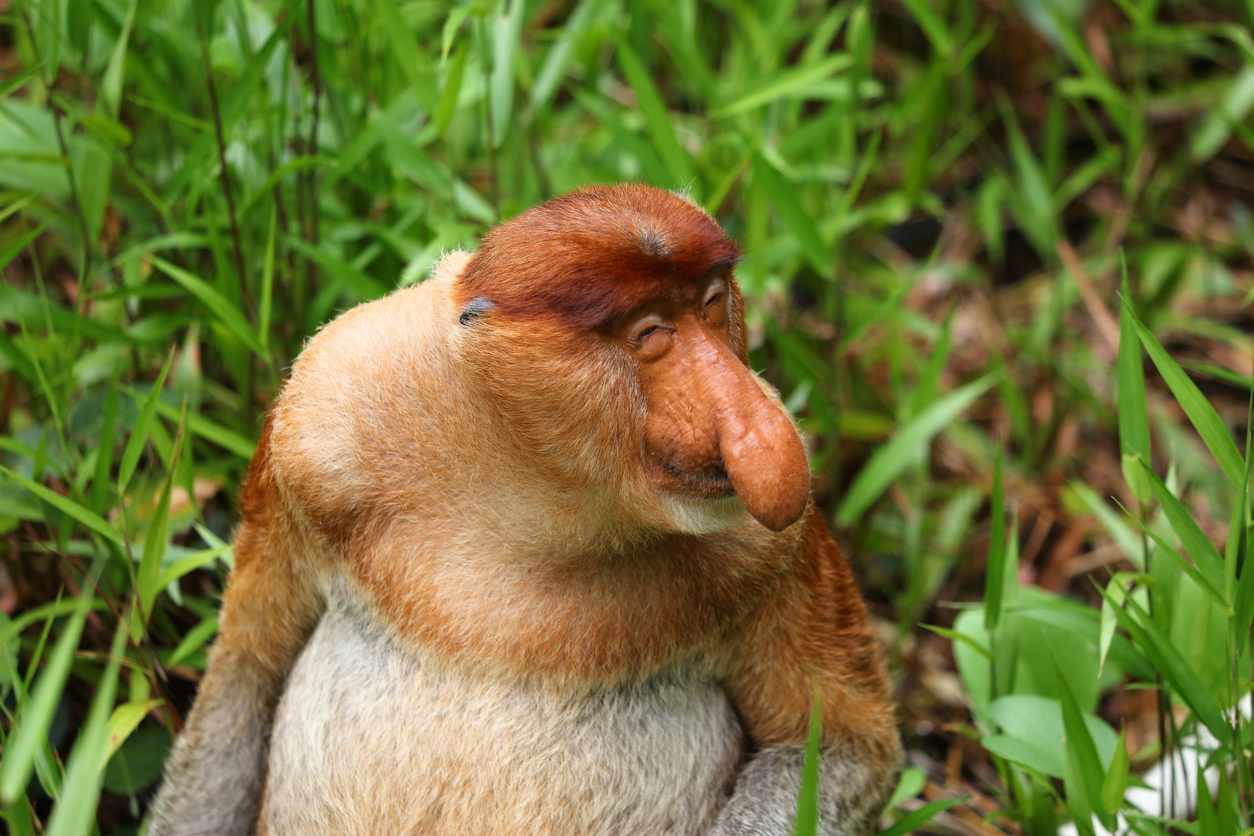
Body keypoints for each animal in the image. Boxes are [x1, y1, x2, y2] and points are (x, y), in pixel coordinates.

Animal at [148, 184, 902, 836]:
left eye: (712, 305)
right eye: (651, 334)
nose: (757, 430)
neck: (536, 497)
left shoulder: (771, 549)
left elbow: (843, 747)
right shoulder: (316, 423)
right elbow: (243, 677)